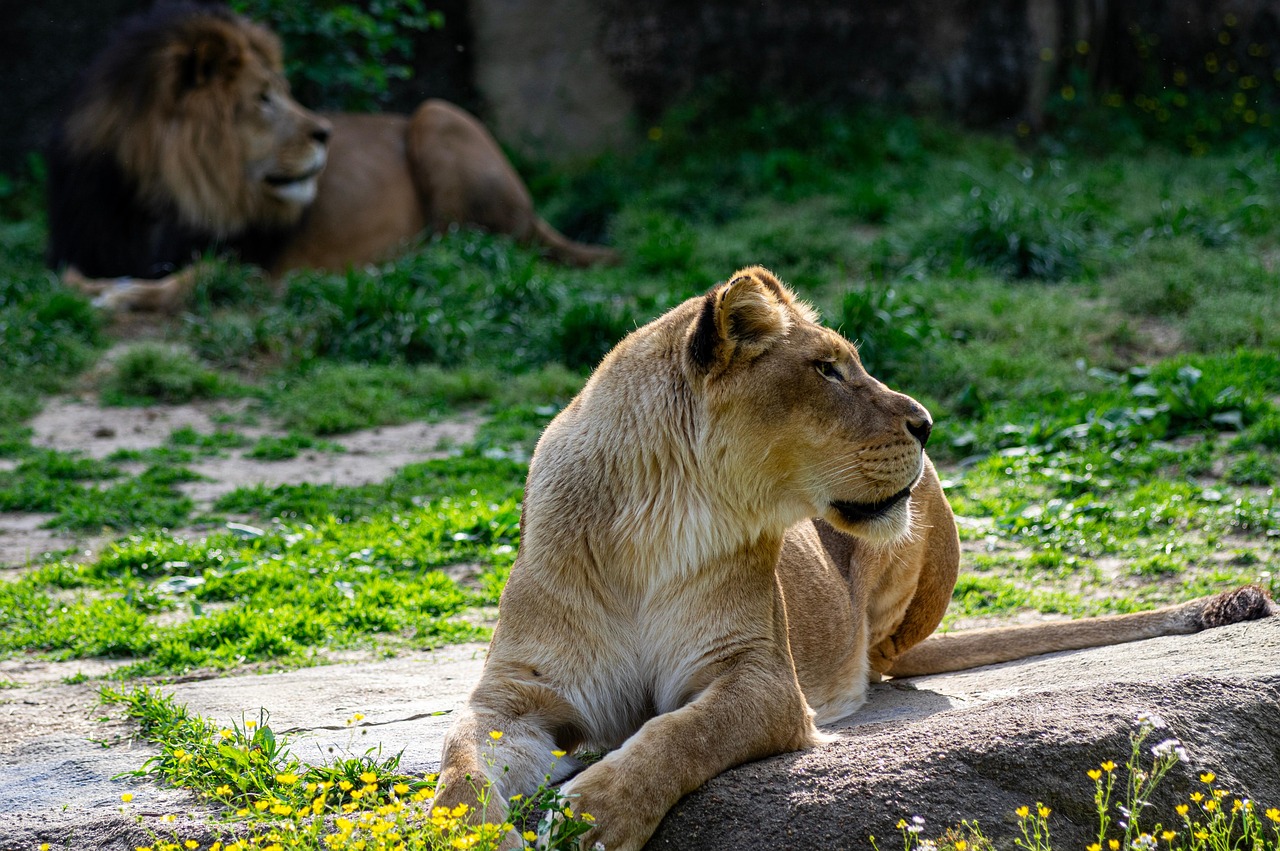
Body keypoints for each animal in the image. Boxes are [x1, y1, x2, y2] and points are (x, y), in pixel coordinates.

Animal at [46, 3, 617, 313]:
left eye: (283, 90)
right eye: (263, 98)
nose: (326, 132)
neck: (156, 194)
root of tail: (533, 212)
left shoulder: (249, 269)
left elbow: (184, 282)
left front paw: (115, 296)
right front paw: (94, 285)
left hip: (437, 116)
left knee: (469, 253)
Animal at [433, 266, 1277, 851]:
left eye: (848, 363)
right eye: (827, 369)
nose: (928, 422)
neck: (656, 517)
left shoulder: (763, 680)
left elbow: (680, 733)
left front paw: (594, 813)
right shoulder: (521, 691)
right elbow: (460, 760)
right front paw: (467, 829)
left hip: (920, 519)